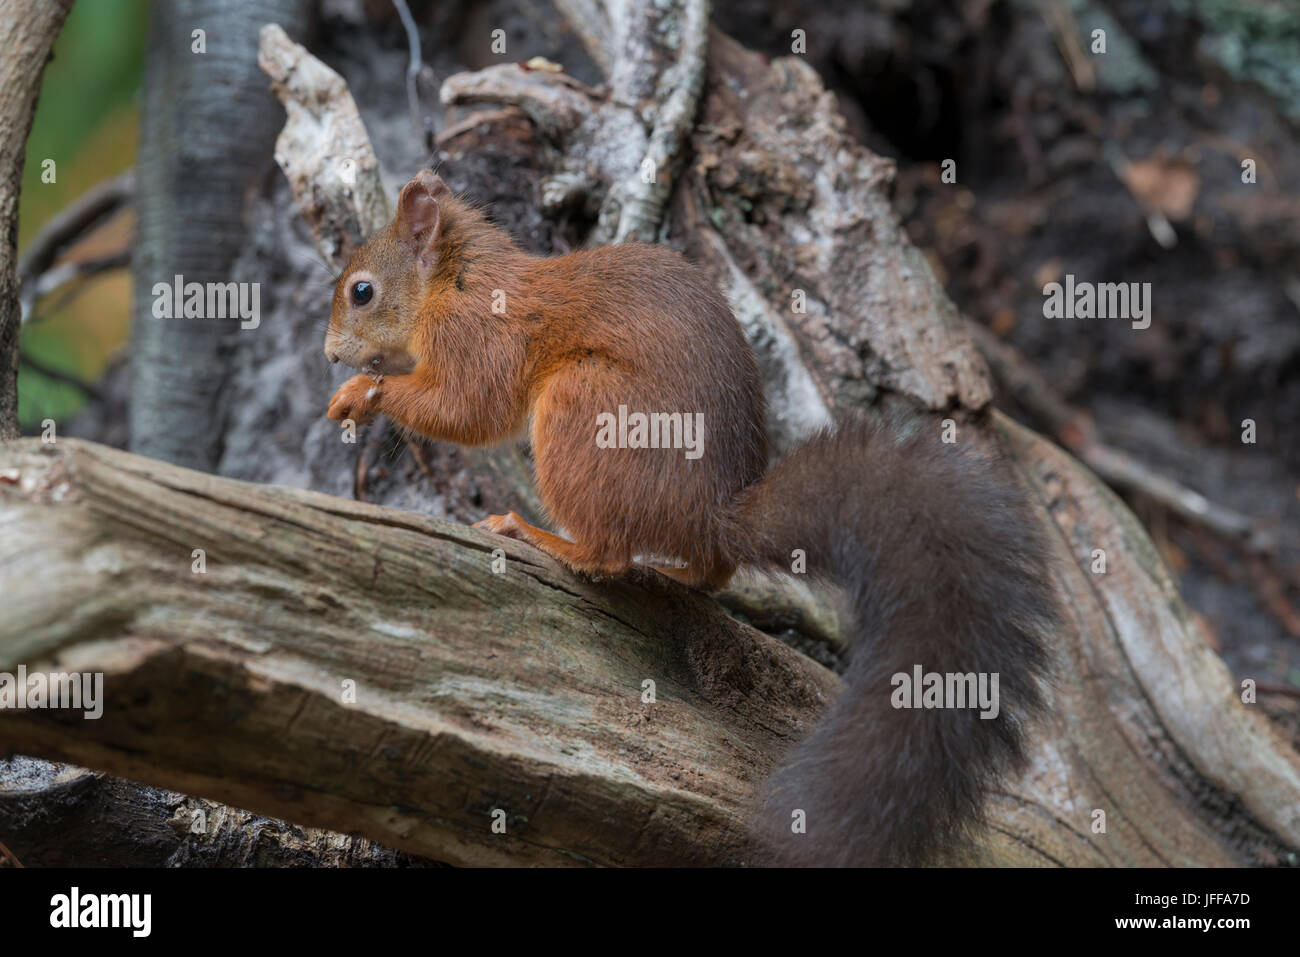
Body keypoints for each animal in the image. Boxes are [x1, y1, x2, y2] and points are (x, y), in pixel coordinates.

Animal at [324, 169, 1058, 866]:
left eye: (361, 291)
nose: (330, 354)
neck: (454, 280)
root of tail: (717, 513)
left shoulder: (479, 335)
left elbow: (467, 409)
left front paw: (364, 393)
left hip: (583, 405)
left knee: (608, 555)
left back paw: (534, 533)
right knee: (709, 573)